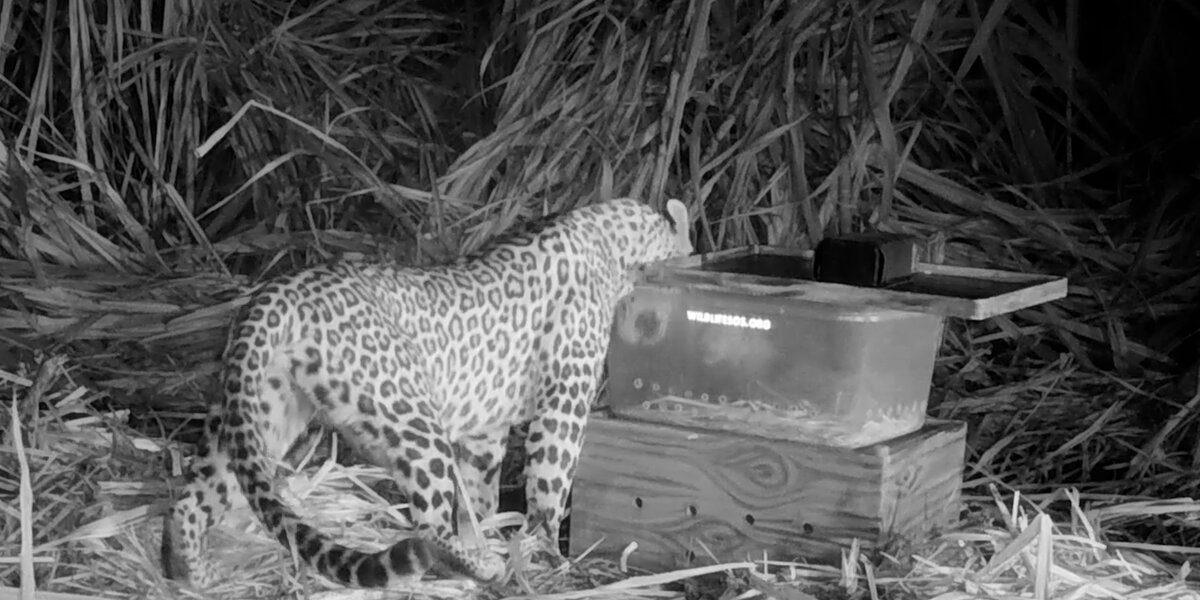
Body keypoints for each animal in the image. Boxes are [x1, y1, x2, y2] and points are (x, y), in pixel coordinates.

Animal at [160, 197, 693, 589]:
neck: (614, 239)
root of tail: (279, 291)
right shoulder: (564, 401)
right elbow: (550, 482)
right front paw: (544, 554)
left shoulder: (483, 431)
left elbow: (480, 493)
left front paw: (488, 536)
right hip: (411, 418)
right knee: (429, 525)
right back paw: (469, 570)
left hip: (257, 413)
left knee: (192, 500)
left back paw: (192, 576)